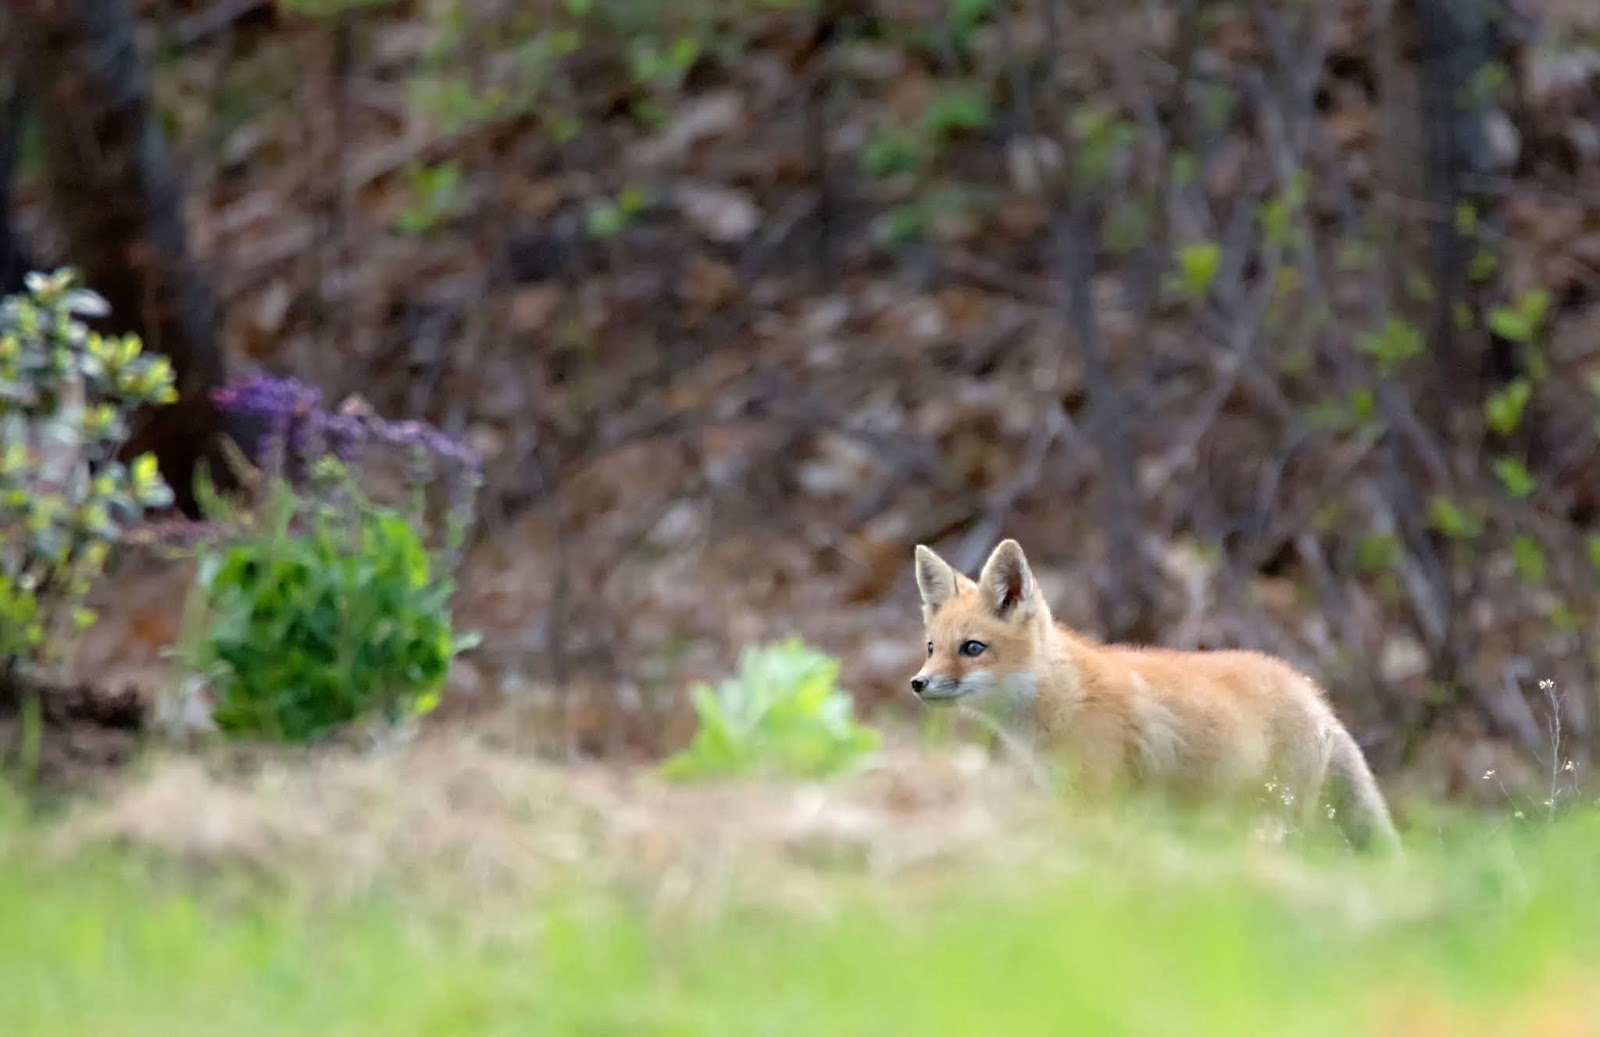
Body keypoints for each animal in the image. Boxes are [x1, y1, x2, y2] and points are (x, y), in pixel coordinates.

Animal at [910, 539, 1401, 853]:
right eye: (932, 648)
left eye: (972, 649)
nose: (918, 683)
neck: (1063, 699)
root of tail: (1315, 695)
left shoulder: (1097, 798)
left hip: (1278, 816)